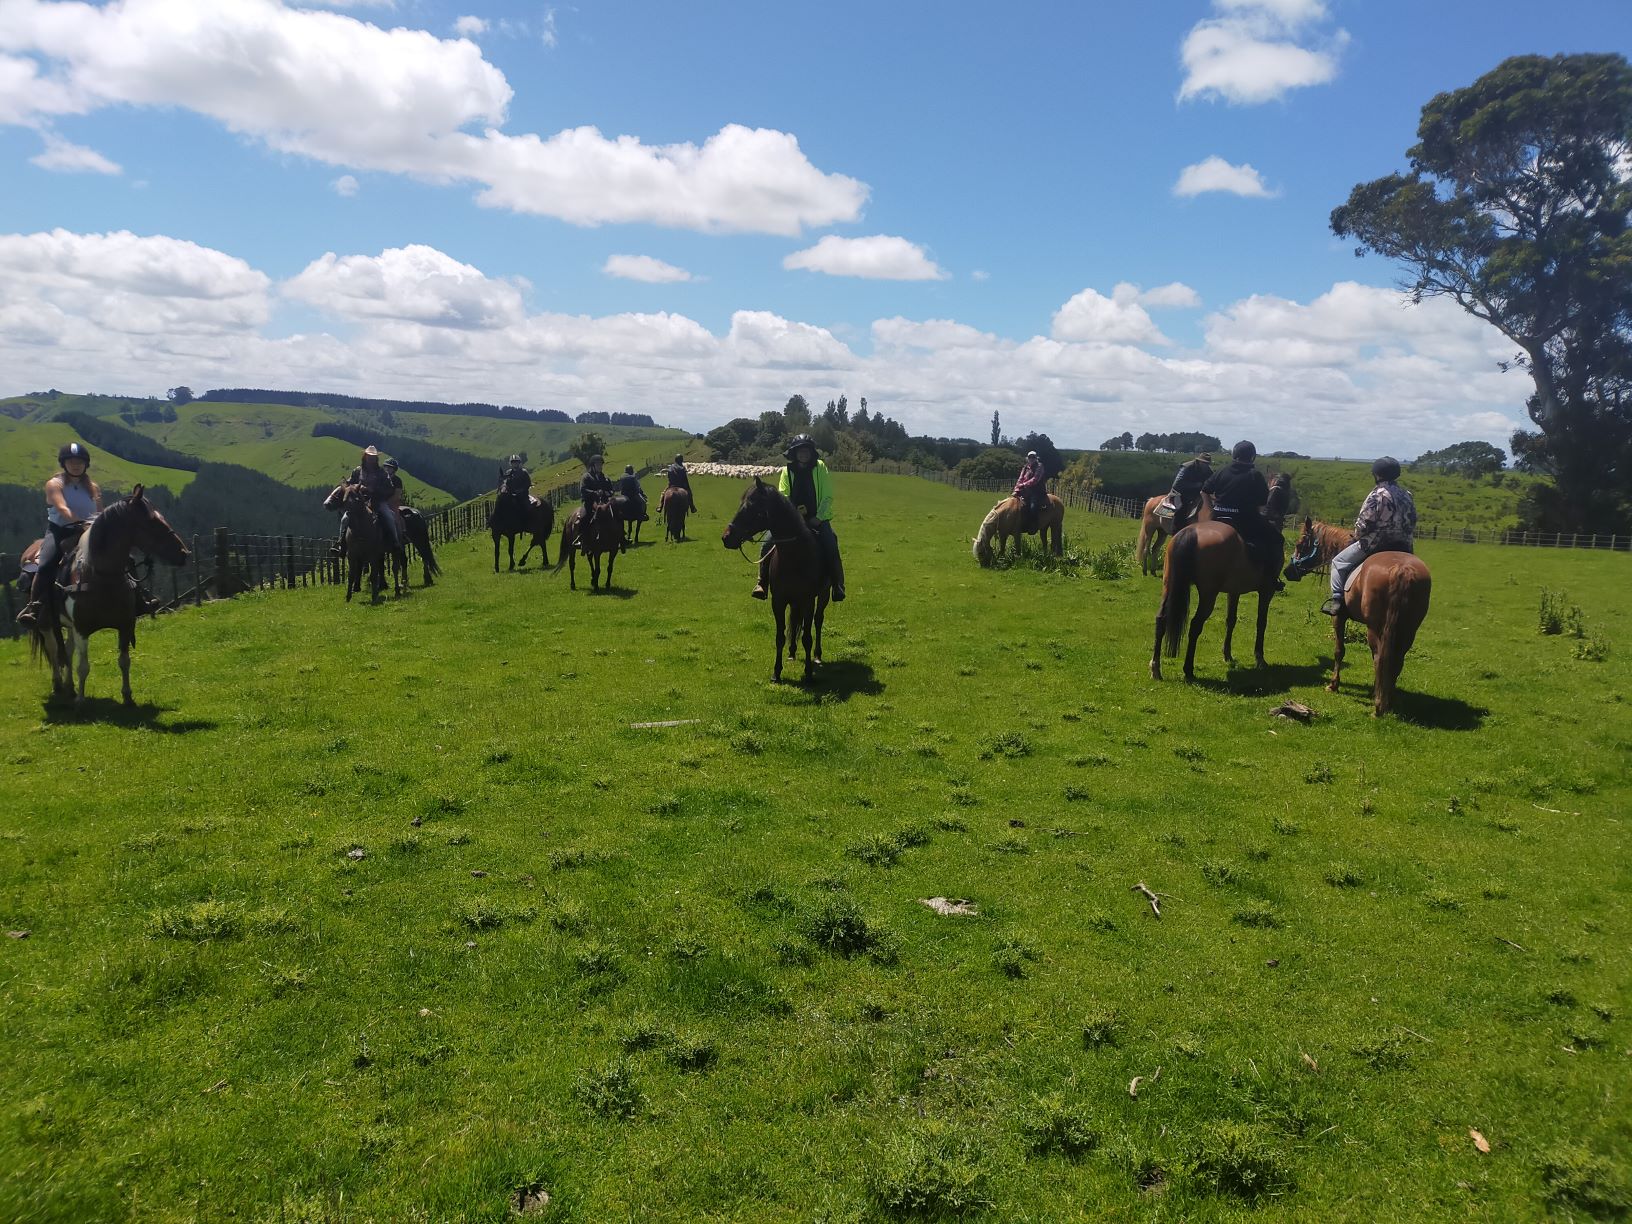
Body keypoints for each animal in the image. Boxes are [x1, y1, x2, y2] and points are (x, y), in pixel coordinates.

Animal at [27, 486, 189, 705]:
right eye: (152, 522)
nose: (184, 553)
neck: (99, 576)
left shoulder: (125, 625)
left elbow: (124, 661)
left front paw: (127, 695)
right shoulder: (82, 629)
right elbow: (83, 666)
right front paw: (81, 701)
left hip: (67, 625)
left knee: (67, 651)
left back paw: (69, 686)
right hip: (45, 623)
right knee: (53, 650)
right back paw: (59, 684)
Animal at [722, 478, 832, 682]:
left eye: (750, 506)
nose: (726, 537)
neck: (794, 555)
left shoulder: (807, 600)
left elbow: (807, 637)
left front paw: (808, 674)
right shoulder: (779, 601)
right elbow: (780, 636)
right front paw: (776, 672)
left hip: (823, 596)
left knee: (818, 620)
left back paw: (817, 655)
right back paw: (791, 652)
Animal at [1151, 520, 1283, 681]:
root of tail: (1191, 532)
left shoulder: (1234, 592)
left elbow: (1231, 621)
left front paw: (1227, 655)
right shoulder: (1266, 591)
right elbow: (1261, 623)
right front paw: (1260, 658)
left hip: (1169, 586)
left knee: (1161, 620)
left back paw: (1156, 668)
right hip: (1208, 595)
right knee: (1195, 626)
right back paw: (1188, 670)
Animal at [1284, 519, 1431, 717]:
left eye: (1300, 545)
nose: (1287, 572)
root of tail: (1402, 570)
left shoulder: (1339, 617)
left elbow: (1339, 651)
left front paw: (1333, 685)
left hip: (1375, 628)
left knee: (1379, 658)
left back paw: (1378, 705)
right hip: (1408, 629)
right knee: (1396, 659)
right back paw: (1387, 699)